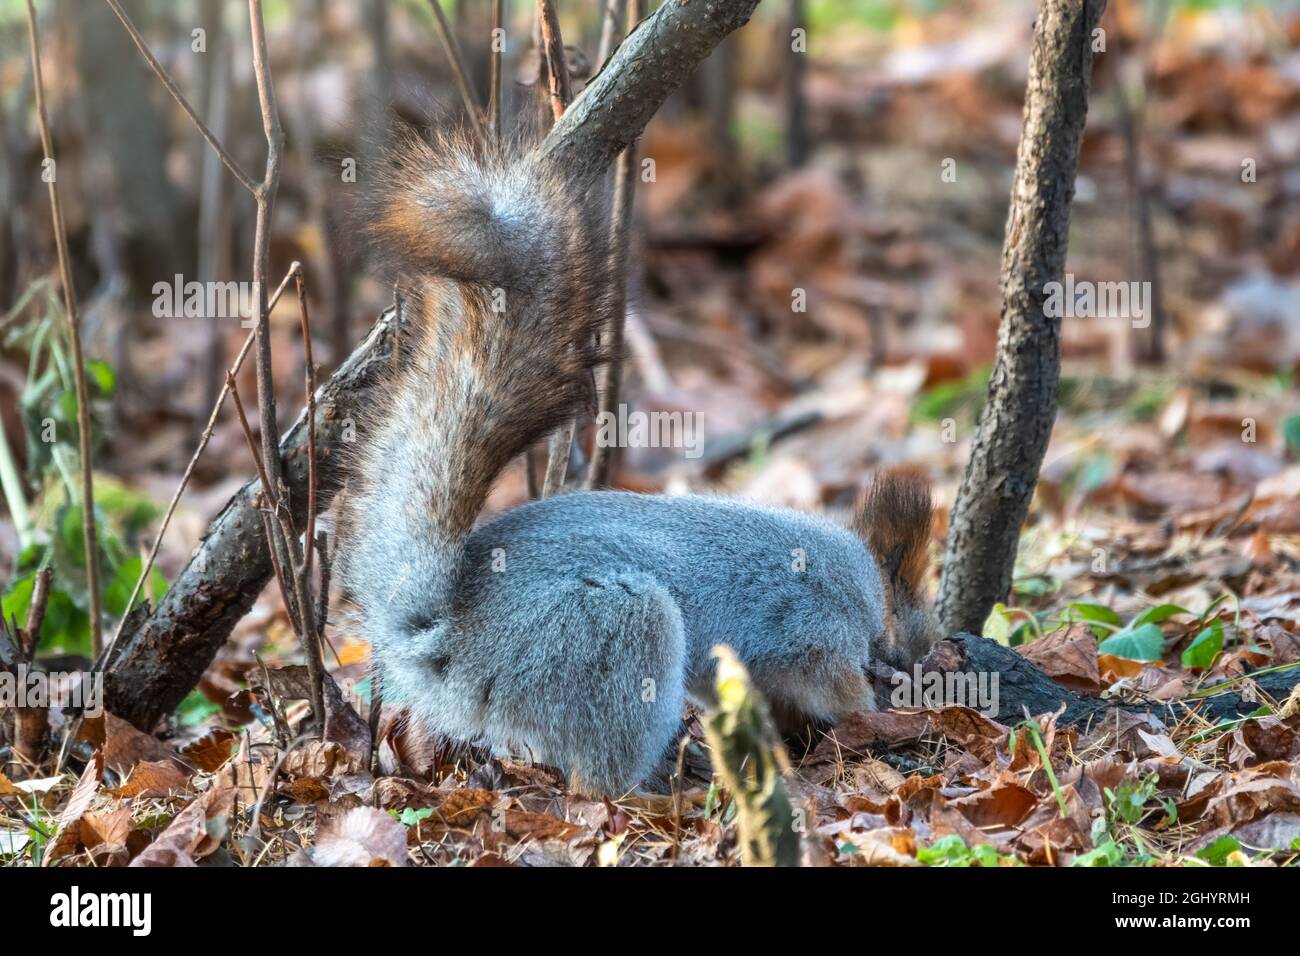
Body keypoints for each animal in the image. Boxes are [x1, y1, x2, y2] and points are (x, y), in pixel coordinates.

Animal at [335, 128, 937, 796]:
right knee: (601, 776)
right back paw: (663, 788)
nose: (920, 677)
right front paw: (867, 716)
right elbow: (835, 685)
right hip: (614, 628)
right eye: (913, 645)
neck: (868, 592)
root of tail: (447, 636)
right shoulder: (813, 631)